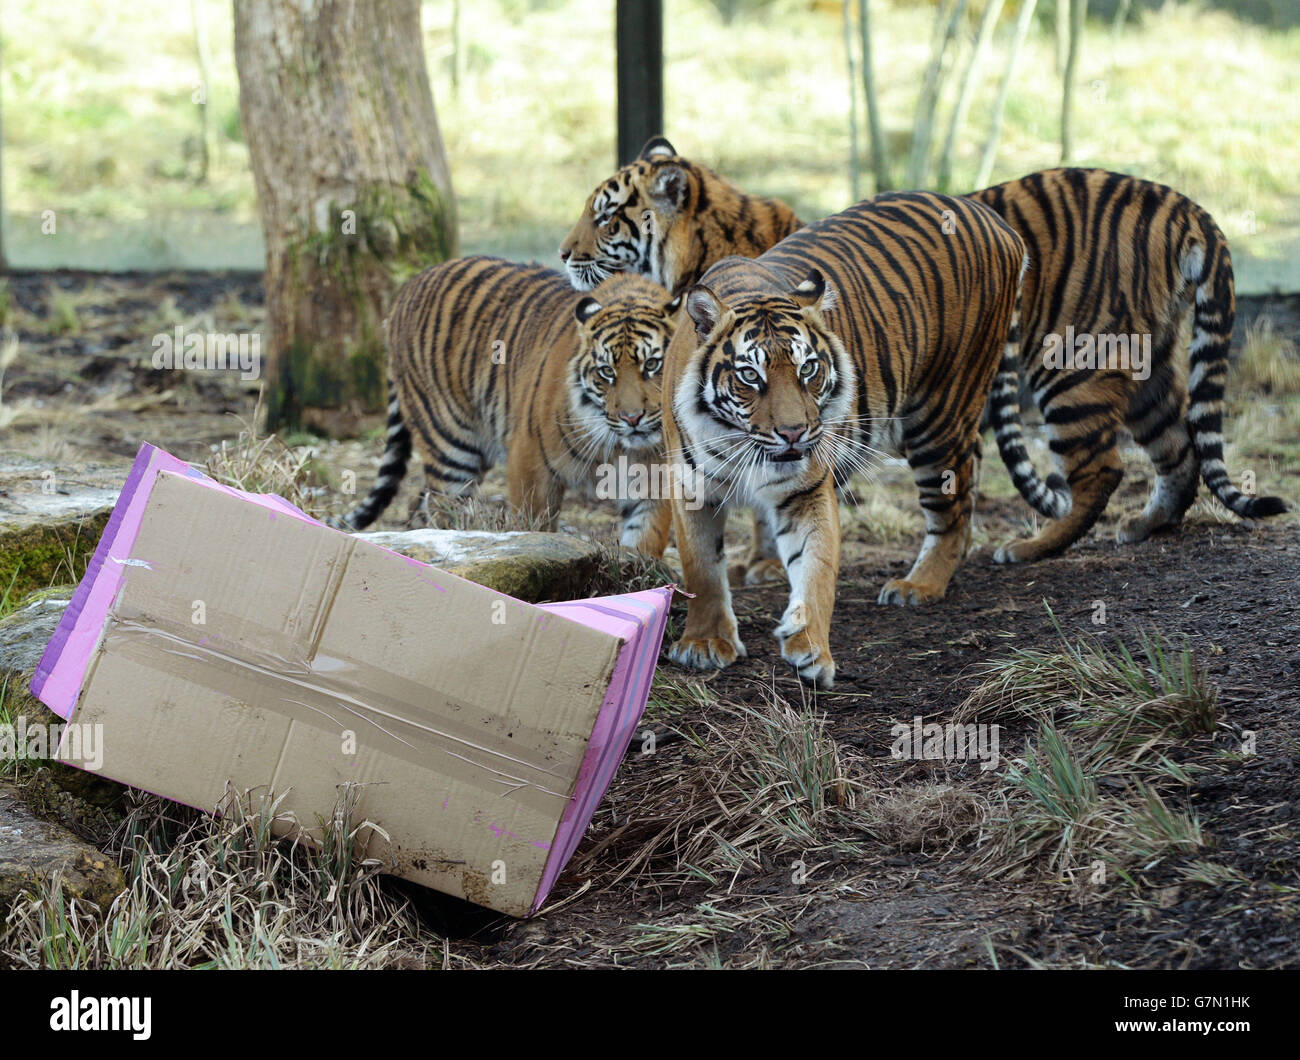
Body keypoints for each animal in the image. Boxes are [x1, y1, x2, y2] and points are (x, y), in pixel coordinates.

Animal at [334, 255, 681, 553]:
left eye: (652, 365)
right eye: (607, 371)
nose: (632, 418)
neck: (621, 447)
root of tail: (408, 287)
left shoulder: (655, 478)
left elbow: (645, 538)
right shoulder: (531, 461)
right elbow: (533, 527)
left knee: (418, 507)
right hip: (451, 449)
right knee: (441, 509)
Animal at [662, 192, 1039, 689]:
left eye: (807, 368)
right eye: (750, 376)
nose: (793, 431)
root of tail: (996, 220)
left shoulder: (806, 489)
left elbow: (817, 567)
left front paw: (810, 646)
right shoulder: (691, 486)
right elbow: (701, 569)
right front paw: (705, 643)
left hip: (939, 411)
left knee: (951, 503)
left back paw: (919, 584)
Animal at [967, 167, 1288, 561]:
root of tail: (1188, 207)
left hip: (1070, 364)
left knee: (1101, 472)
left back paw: (1032, 547)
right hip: (1147, 371)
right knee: (1180, 448)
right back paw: (1145, 524)